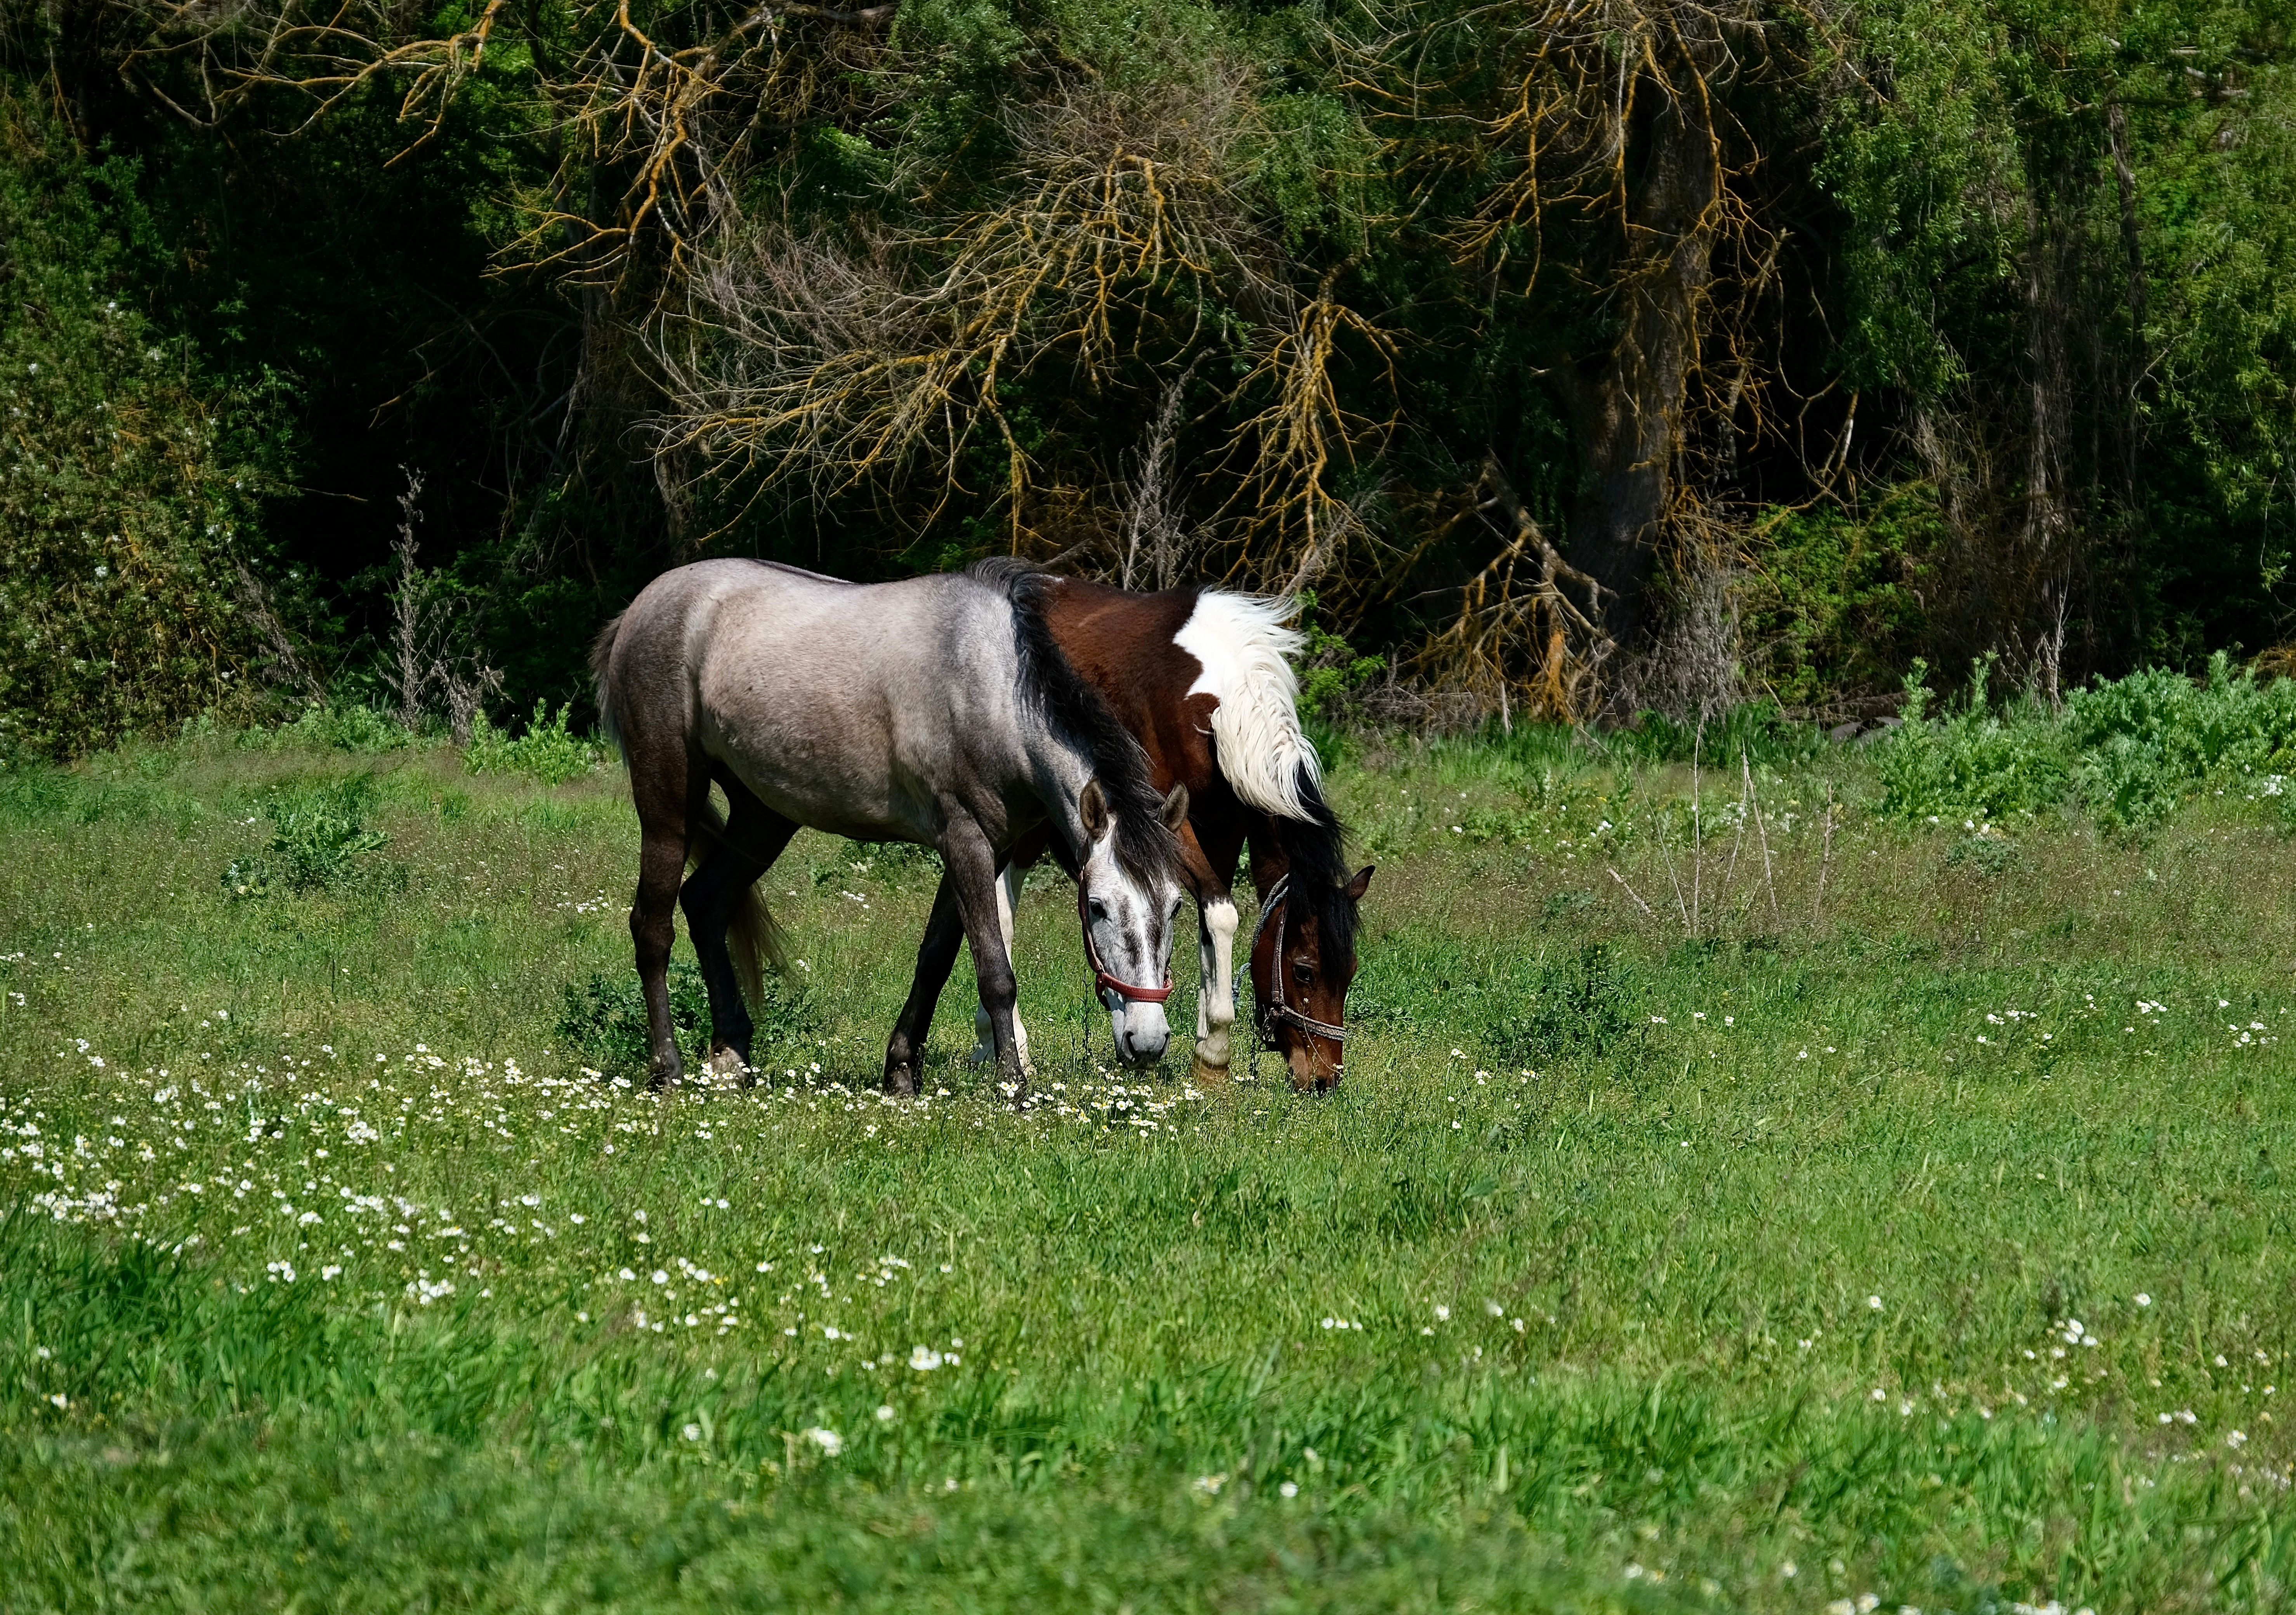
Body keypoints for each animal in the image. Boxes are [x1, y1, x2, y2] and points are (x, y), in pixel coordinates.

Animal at [592, 557, 1191, 1096]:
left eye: (1175, 907)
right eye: (1097, 907)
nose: (1147, 1042)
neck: (990, 690)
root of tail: (640, 609)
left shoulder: (986, 849)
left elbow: (935, 960)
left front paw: (902, 1072)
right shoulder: (965, 841)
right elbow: (994, 971)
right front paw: (1014, 1085)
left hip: (761, 818)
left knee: (706, 903)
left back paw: (731, 1057)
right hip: (667, 801)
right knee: (652, 927)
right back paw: (667, 1069)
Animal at [954, 579, 1373, 1090]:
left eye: (1350, 972)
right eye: (1304, 971)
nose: (1323, 1078)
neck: (1213, 699)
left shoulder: (1224, 829)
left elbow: (1209, 922)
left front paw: (1205, 1053)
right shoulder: (1164, 825)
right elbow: (1222, 914)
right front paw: (1215, 1050)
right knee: (1000, 914)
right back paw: (1005, 1045)